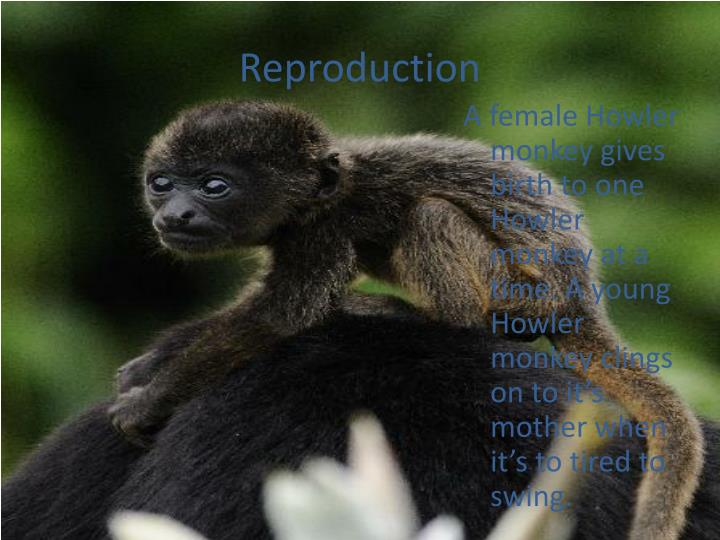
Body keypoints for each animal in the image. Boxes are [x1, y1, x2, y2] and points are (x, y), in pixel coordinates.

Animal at [108, 100, 703, 540]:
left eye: (215, 186)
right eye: (162, 183)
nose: (175, 213)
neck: (326, 186)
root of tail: (579, 297)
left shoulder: (322, 228)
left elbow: (282, 315)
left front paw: (152, 398)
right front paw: (160, 357)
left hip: (520, 292)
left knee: (430, 217)